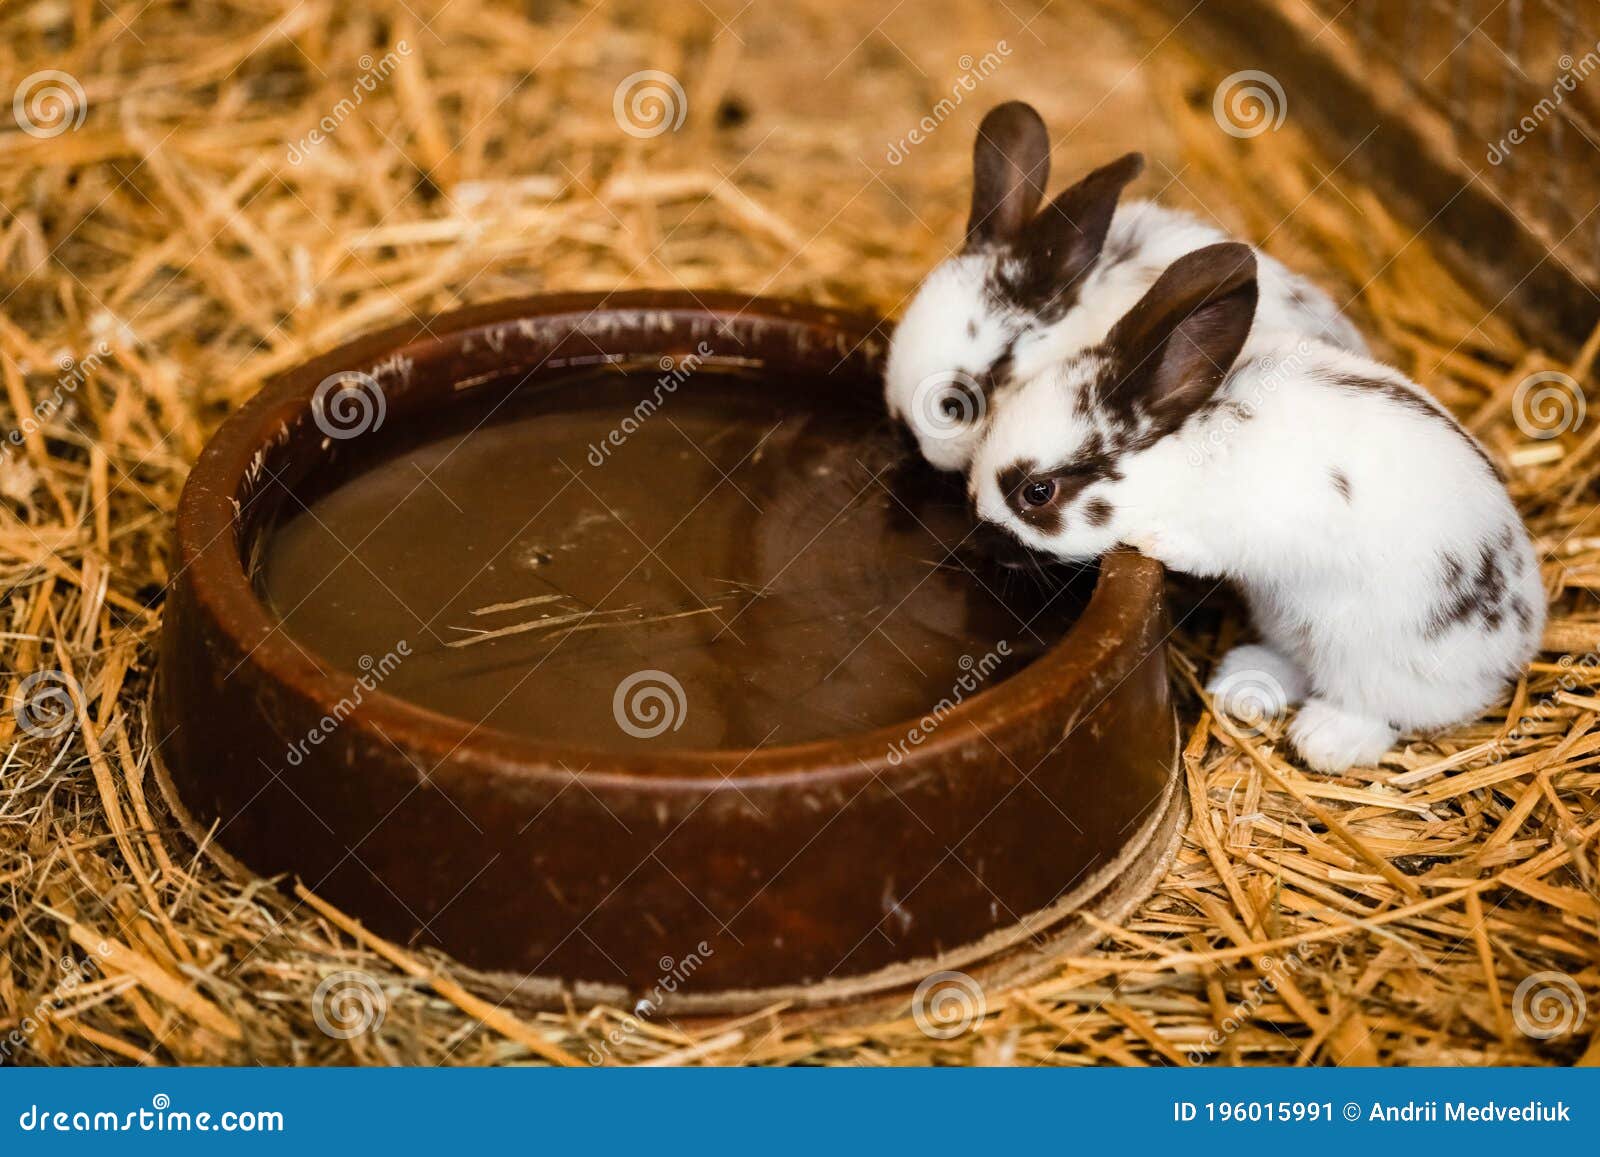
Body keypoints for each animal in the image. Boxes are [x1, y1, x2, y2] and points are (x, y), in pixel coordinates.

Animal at [966, 241, 1544, 773]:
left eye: (1037, 492)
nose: (979, 542)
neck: (1180, 456)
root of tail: (1519, 642)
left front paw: (1154, 540)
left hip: (1376, 656)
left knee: (1388, 708)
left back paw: (1324, 738)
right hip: (1287, 619)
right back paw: (1241, 682)